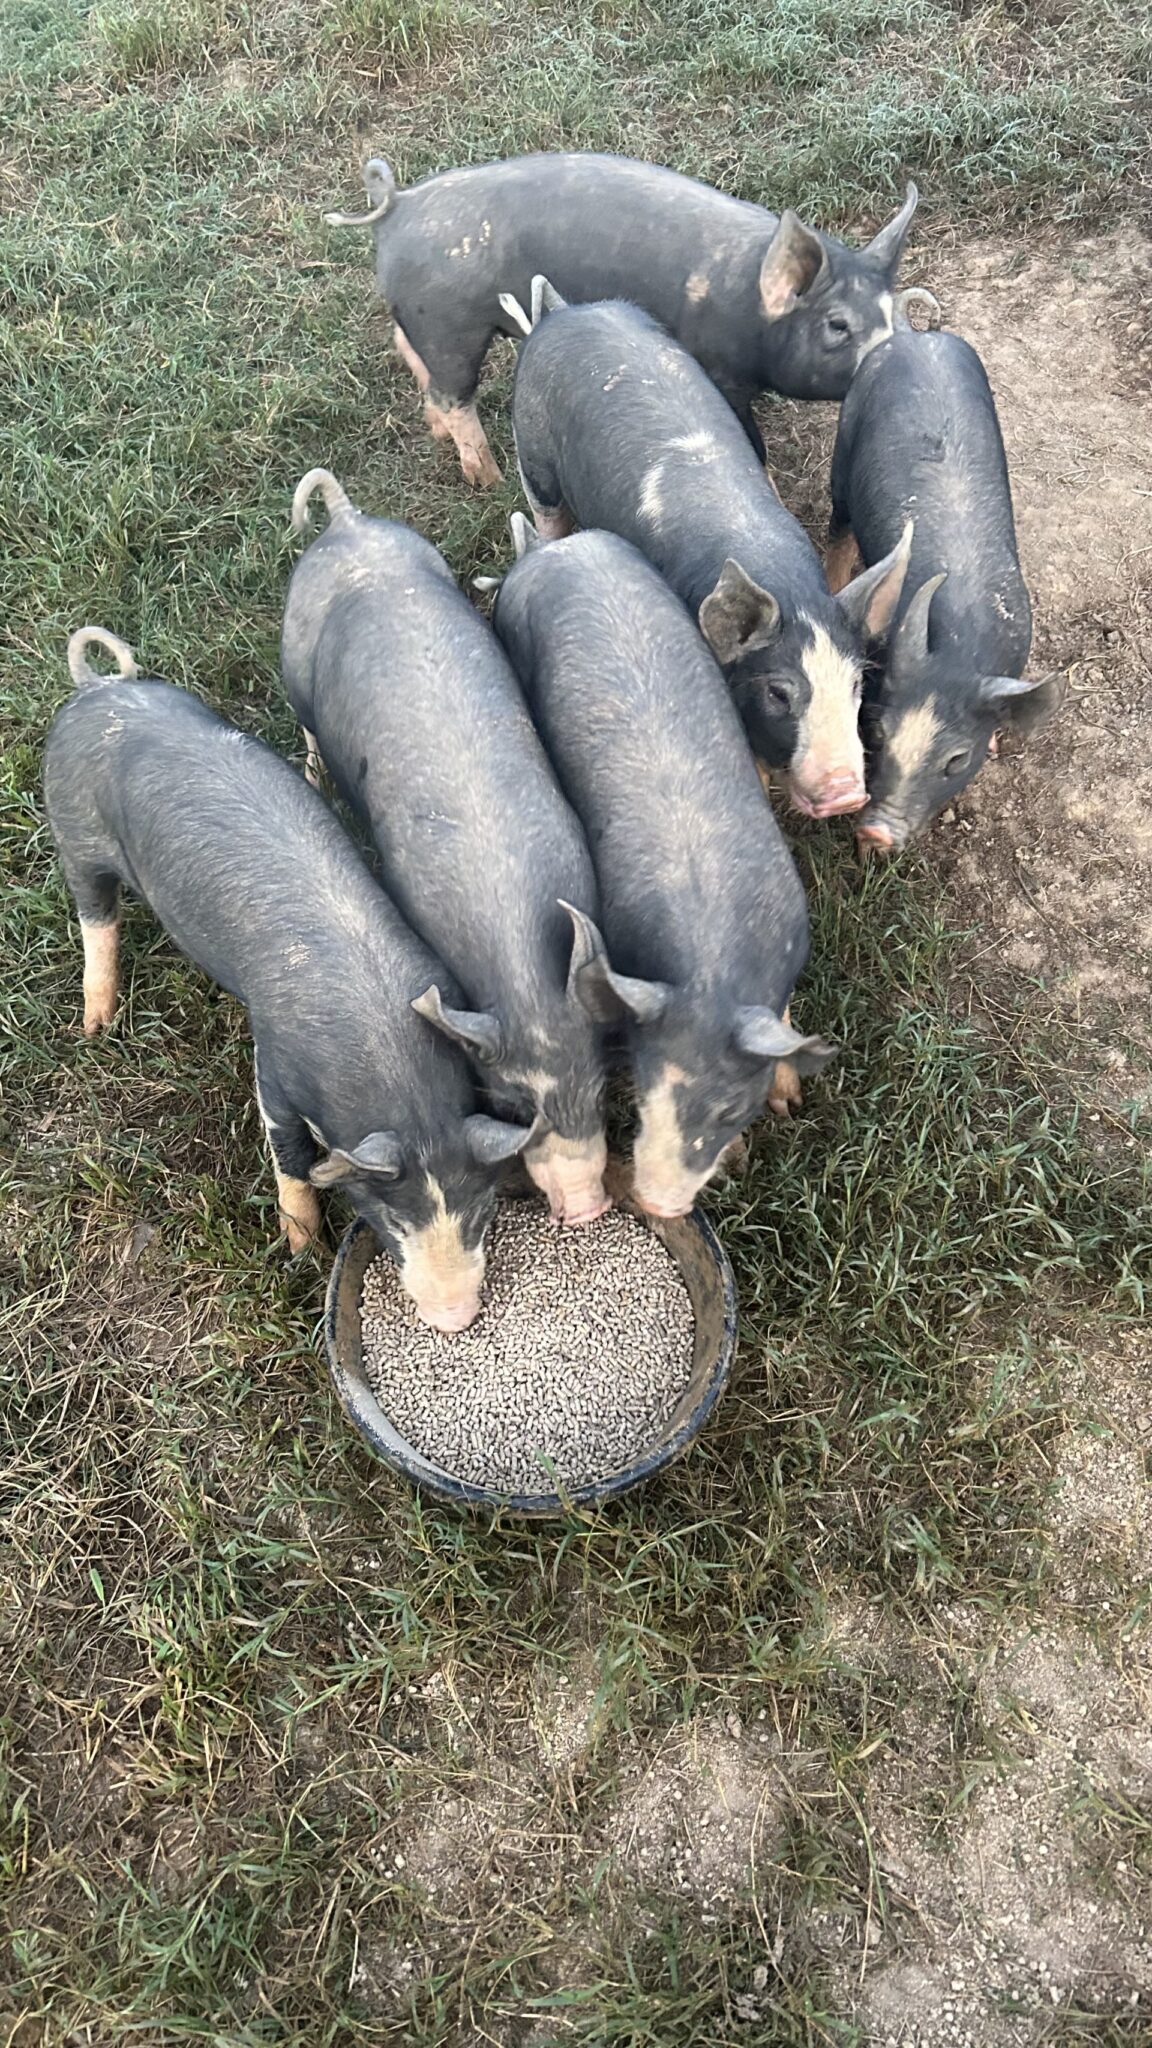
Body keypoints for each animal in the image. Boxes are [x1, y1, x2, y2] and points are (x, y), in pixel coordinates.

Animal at [43, 627, 535, 1331]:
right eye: (394, 1221)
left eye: (483, 1214)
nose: (454, 1319)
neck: (396, 1076)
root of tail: (97, 690)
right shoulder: (273, 1064)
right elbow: (292, 1158)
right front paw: (305, 1251)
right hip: (75, 834)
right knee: (95, 919)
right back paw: (96, 1027)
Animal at [324, 149, 930, 484]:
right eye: (838, 325)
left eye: (892, 311)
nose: (900, 353)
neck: (751, 307)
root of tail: (399, 207)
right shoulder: (721, 369)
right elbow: (747, 436)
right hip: (451, 325)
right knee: (454, 395)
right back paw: (488, 481)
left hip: (425, 321)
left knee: (413, 359)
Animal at [490, 521, 837, 1219]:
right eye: (644, 1100)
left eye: (731, 1109)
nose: (655, 1203)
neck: (713, 972)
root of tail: (548, 549)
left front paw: (790, 1102)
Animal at [505, 290, 912, 821]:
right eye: (778, 692)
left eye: (855, 685)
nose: (847, 792)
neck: (786, 585)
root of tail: (559, 312)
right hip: (533, 457)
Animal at [826, 329, 1068, 852]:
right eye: (878, 735)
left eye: (955, 760)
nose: (876, 830)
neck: (959, 649)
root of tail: (913, 335)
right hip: (844, 440)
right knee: (838, 525)